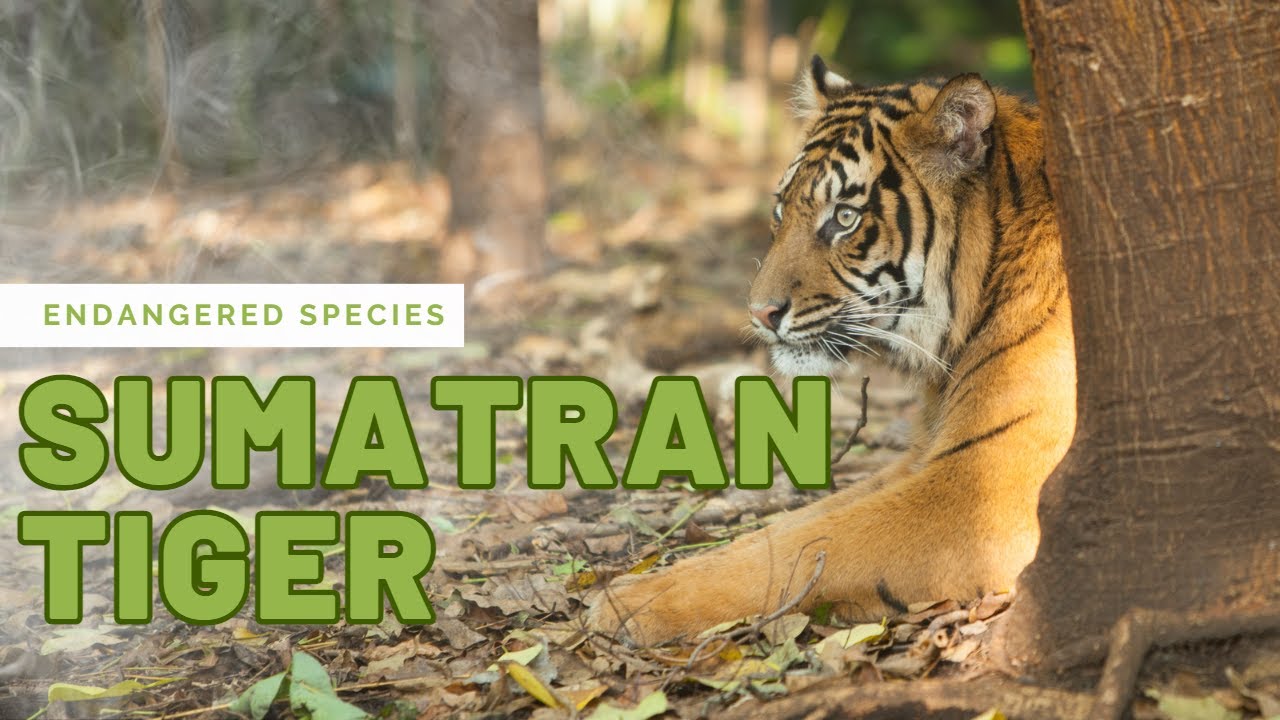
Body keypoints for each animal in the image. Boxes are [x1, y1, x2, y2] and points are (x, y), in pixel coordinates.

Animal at [587, 56, 1076, 646]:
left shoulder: (984, 487)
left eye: (844, 218)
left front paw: (624, 602)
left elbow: (800, 547)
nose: (759, 313)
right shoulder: (926, 457)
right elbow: (786, 525)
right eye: (780, 212)